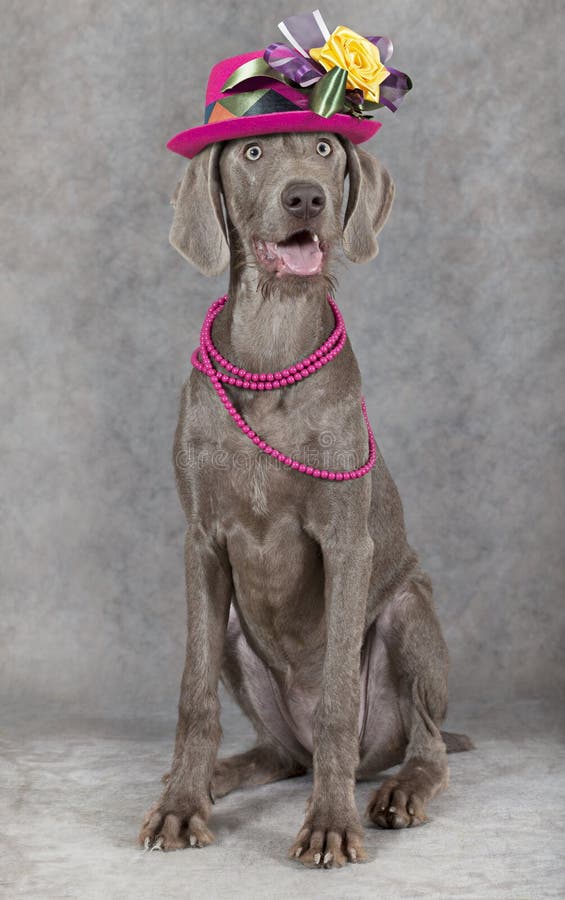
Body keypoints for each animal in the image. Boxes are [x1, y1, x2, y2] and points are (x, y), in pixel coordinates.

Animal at [139, 132, 470, 864]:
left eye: (323, 148)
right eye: (252, 152)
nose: (306, 199)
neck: (273, 337)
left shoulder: (346, 543)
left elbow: (338, 703)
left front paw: (329, 824)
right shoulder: (202, 543)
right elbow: (193, 696)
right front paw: (180, 805)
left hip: (409, 614)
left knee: (424, 744)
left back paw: (397, 790)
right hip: (237, 632)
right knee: (281, 753)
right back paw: (207, 777)